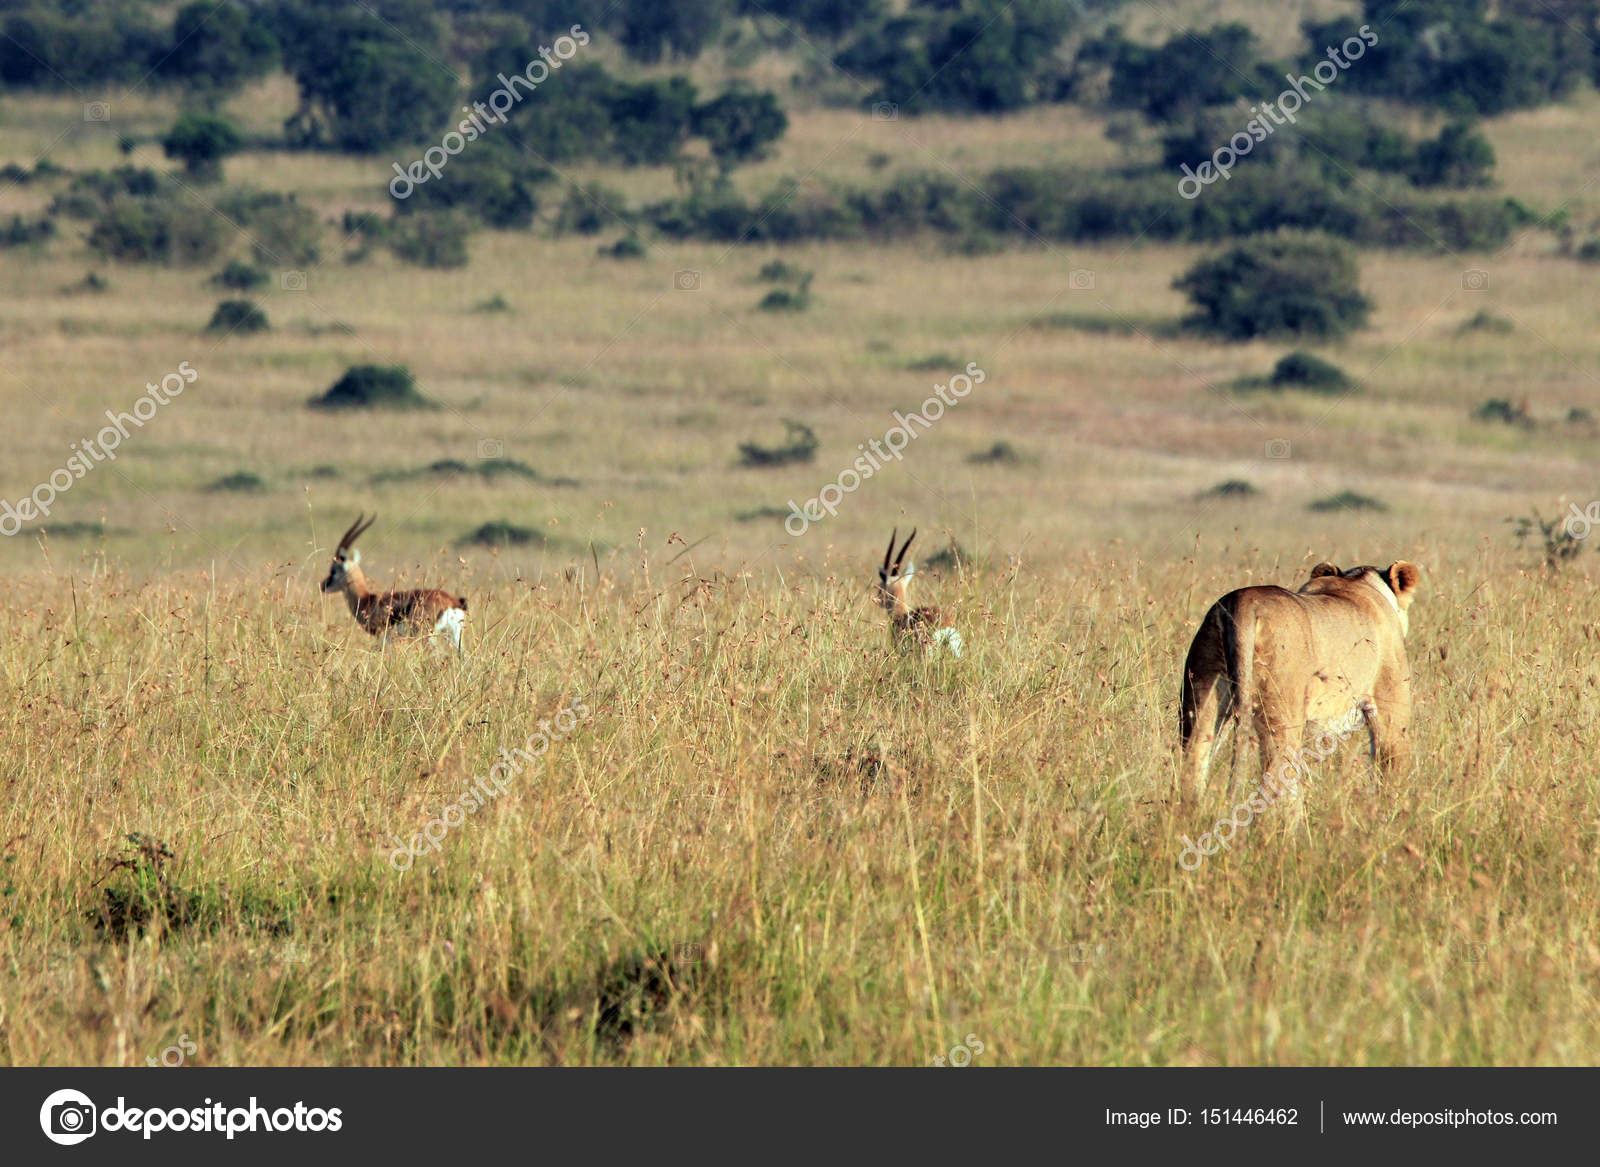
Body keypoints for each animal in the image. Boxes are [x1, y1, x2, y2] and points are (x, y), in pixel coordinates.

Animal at [320, 513, 467, 650]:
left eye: (333, 570)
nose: (323, 585)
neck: (366, 600)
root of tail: (453, 601)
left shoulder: (386, 639)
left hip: (428, 637)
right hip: (453, 636)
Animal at [1178, 560, 1421, 802]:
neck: (1356, 582)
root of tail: (1243, 602)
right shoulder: (1390, 707)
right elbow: (1392, 760)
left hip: (1203, 694)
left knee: (1193, 761)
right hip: (1283, 714)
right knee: (1278, 779)